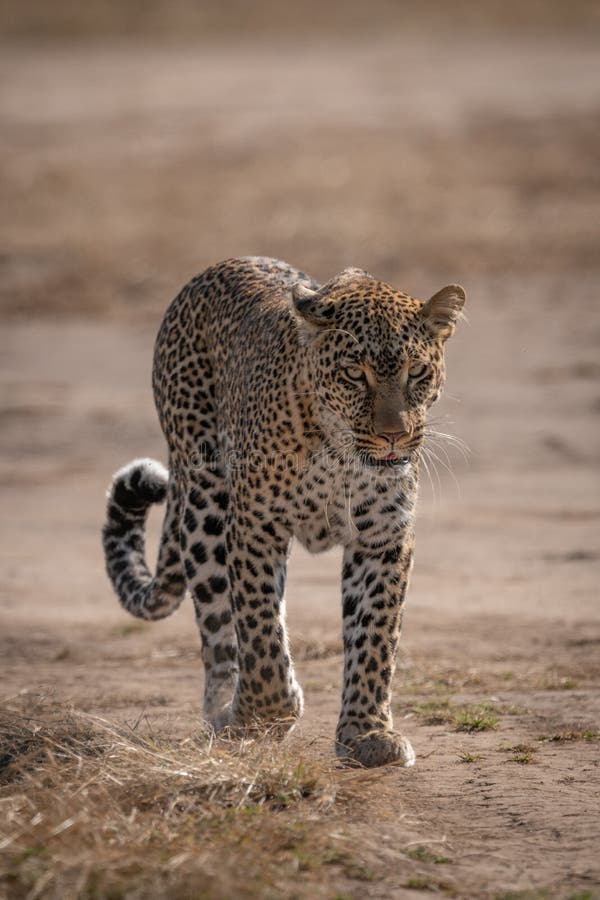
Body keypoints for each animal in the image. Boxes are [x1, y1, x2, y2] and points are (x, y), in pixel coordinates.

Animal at [102, 256, 465, 768]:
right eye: (355, 374)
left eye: (417, 371)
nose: (394, 435)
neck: (340, 454)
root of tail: (224, 264)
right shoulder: (256, 527)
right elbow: (259, 631)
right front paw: (268, 712)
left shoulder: (383, 537)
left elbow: (374, 636)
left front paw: (367, 733)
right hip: (204, 496)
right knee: (217, 626)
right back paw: (225, 712)